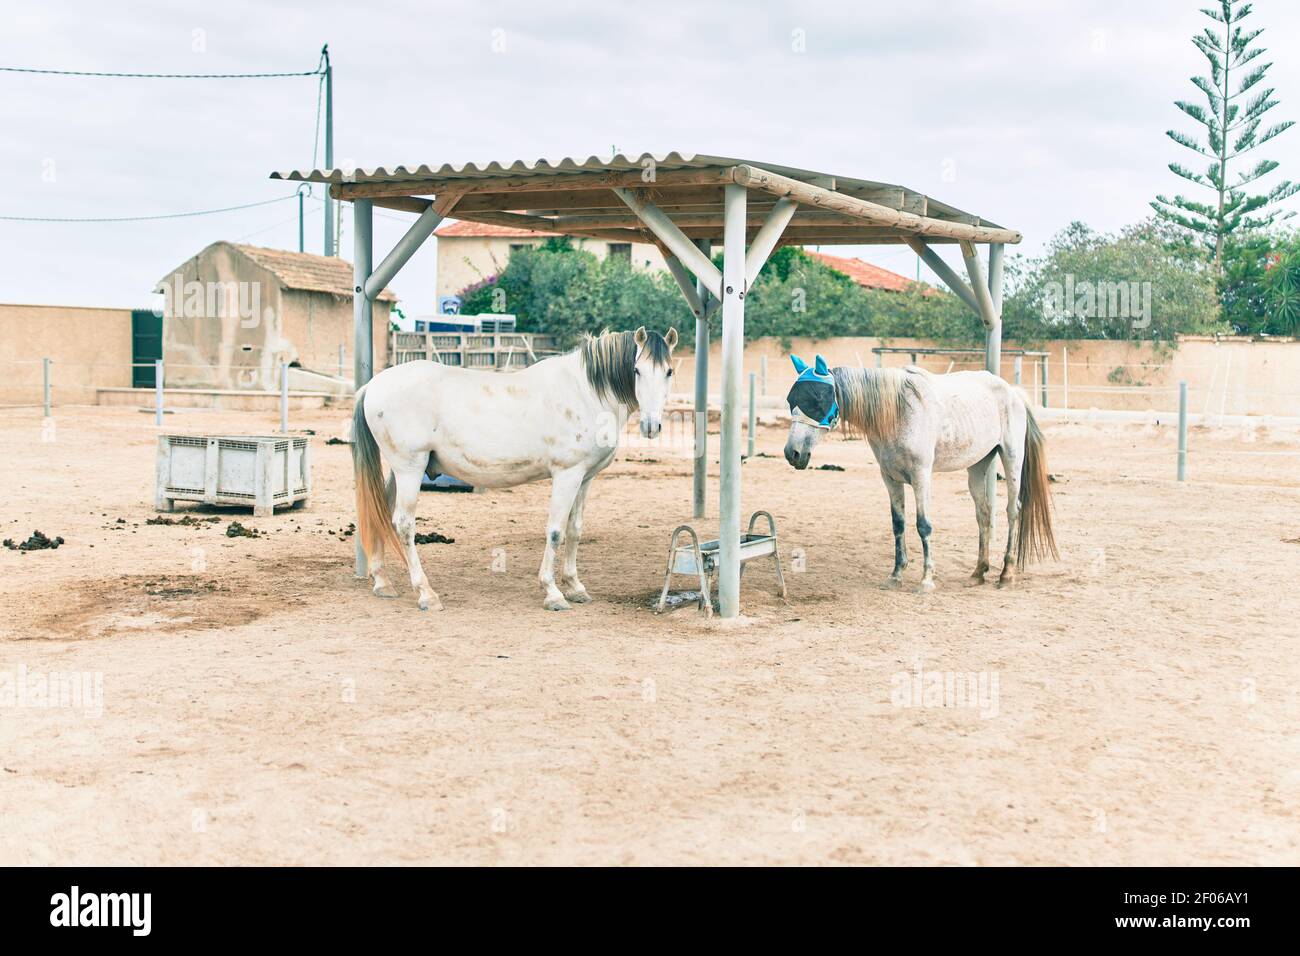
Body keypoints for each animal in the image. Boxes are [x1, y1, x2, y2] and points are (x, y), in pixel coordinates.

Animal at [351, 327, 678, 611]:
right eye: (637, 370)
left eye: (669, 372)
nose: (651, 426)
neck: (584, 392)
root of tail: (374, 385)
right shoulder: (567, 475)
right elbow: (556, 531)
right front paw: (553, 592)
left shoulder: (585, 478)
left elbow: (575, 530)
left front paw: (575, 586)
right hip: (410, 470)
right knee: (404, 524)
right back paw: (425, 593)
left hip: (399, 472)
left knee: (380, 514)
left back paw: (382, 582)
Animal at [782, 354, 1057, 591]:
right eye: (791, 401)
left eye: (817, 400)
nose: (792, 453)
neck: (899, 412)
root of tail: (1013, 393)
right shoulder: (890, 478)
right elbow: (898, 524)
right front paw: (896, 575)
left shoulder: (921, 476)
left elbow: (923, 525)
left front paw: (926, 580)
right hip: (978, 465)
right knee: (984, 514)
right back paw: (979, 571)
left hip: (1012, 459)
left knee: (1012, 511)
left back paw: (1006, 574)